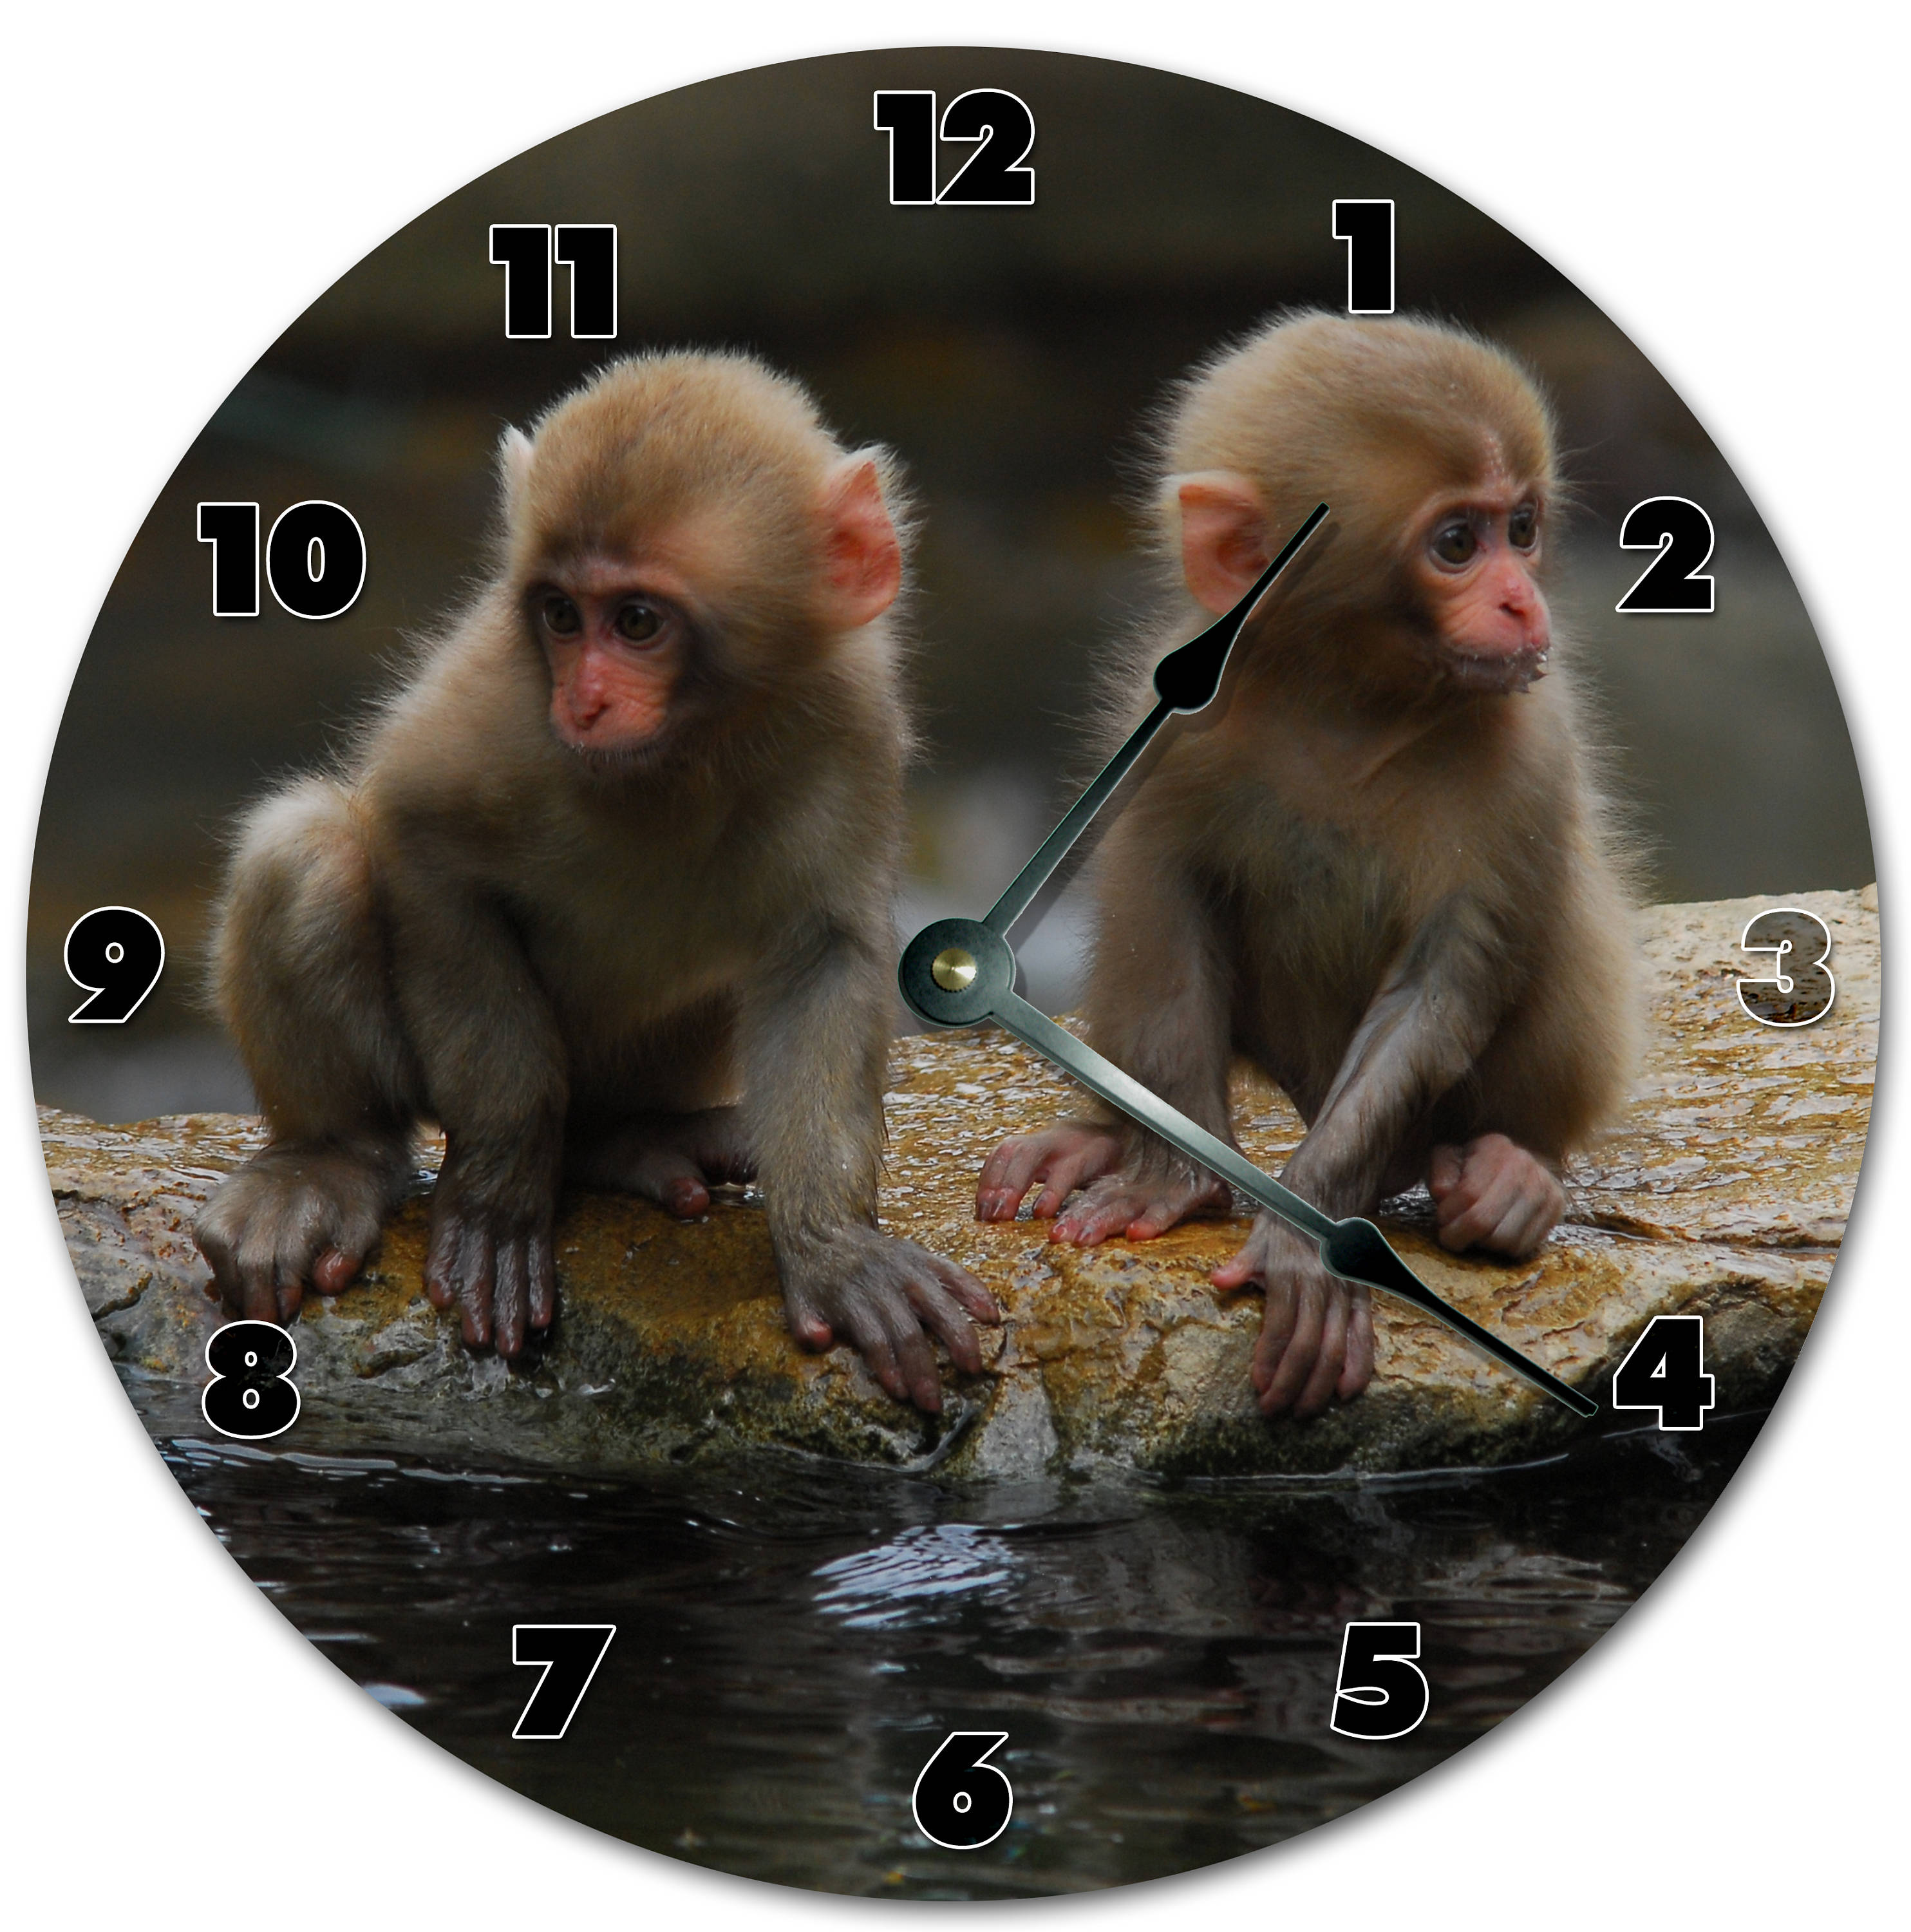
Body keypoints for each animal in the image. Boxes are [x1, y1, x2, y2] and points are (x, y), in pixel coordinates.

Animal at [194, 350, 999, 1412]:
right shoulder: (498, 698)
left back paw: (621, 1138)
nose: (583, 701)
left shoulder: (850, 715)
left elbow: (824, 952)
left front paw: (835, 1250)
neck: (685, 748)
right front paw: (500, 1200)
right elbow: (424, 852)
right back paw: (331, 1160)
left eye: (640, 621)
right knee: (309, 849)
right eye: (563, 617)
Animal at [977, 312, 1640, 1419]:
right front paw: (1169, 1178)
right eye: (1457, 544)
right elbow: (1164, 895)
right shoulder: (1173, 723)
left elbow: (1440, 987)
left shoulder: (1531, 749)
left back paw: (1511, 1174)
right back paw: (1098, 1136)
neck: (1350, 700)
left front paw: (1310, 1242)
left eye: (1523, 528)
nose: (1520, 601)